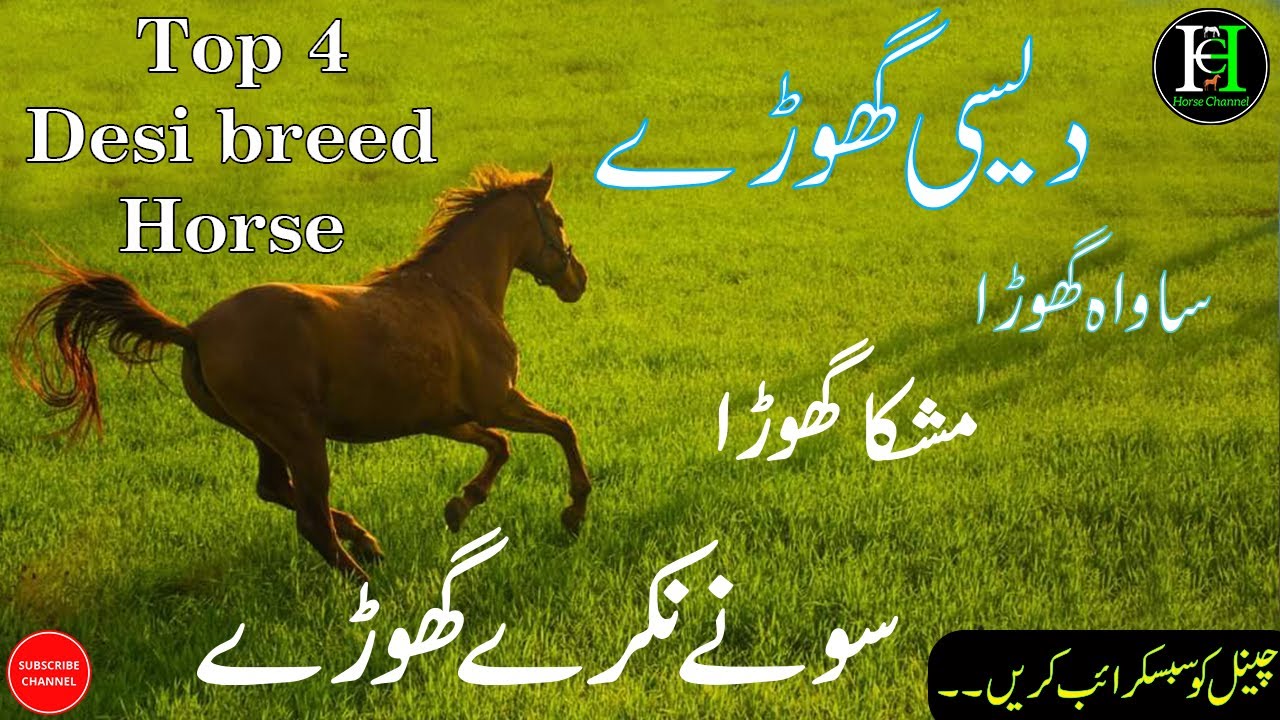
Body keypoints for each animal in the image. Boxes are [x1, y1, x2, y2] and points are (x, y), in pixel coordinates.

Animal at [11, 164, 590, 583]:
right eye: (559, 220)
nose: (577, 279)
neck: (458, 293)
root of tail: (195, 331)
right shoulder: (499, 400)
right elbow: (562, 429)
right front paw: (574, 513)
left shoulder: (448, 417)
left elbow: (499, 446)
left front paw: (459, 507)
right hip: (299, 434)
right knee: (309, 516)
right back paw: (365, 582)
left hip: (264, 433)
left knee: (276, 489)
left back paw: (365, 541)